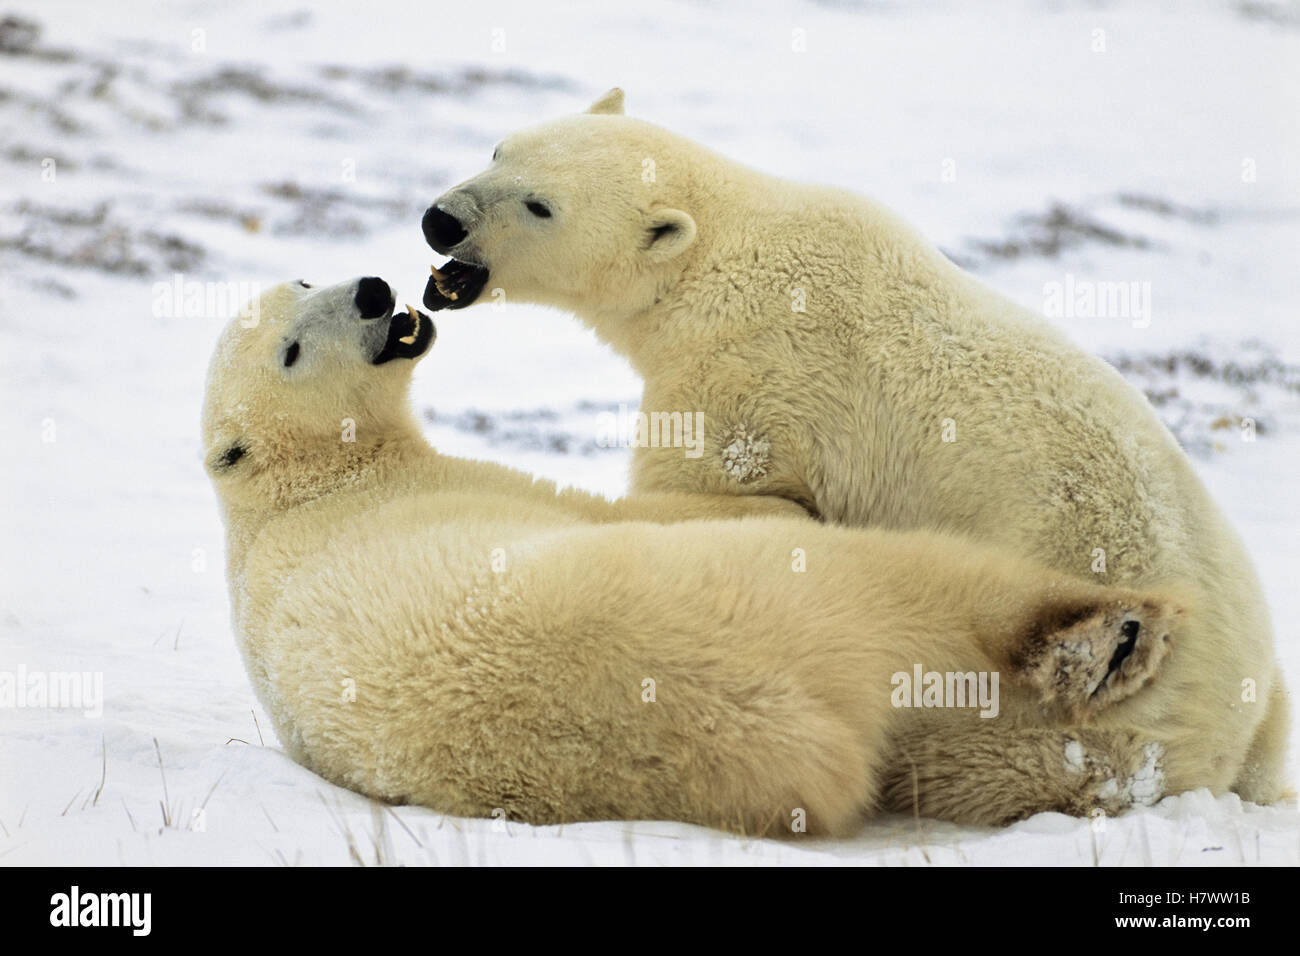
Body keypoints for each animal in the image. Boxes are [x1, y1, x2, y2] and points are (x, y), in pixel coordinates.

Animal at [203, 275, 1186, 833]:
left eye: (304, 275)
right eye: (291, 350)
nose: (373, 290)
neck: (312, 490)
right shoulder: (487, 493)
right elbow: (639, 506)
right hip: (774, 597)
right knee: (916, 579)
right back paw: (1110, 637)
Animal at [419, 88, 1289, 814]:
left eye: (541, 206)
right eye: (499, 148)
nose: (440, 219)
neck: (726, 249)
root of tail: (1224, 731)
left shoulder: (750, 372)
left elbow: (724, 492)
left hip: (1090, 715)